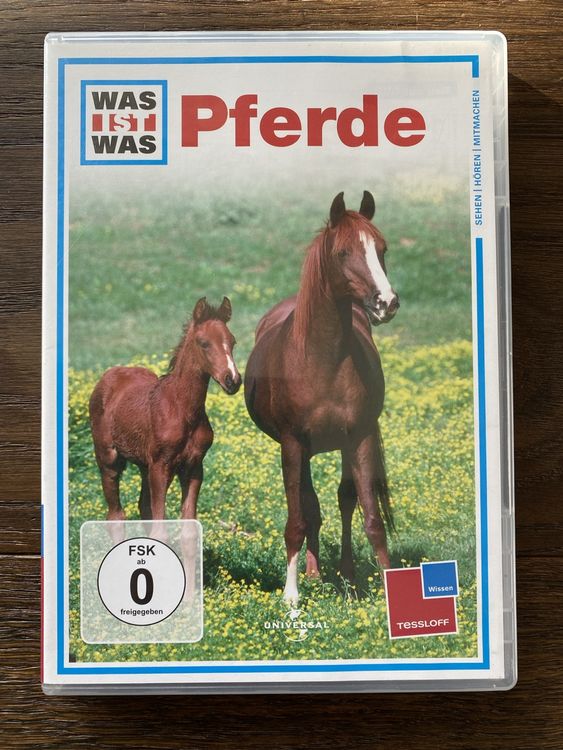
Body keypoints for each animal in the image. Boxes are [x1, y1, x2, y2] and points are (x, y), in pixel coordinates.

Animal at [89, 296, 241, 527]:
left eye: (232, 342)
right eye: (204, 343)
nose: (232, 380)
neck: (183, 410)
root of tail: (110, 374)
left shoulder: (194, 467)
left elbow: (188, 523)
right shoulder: (161, 467)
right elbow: (160, 522)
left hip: (144, 465)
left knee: (142, 507)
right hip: (108, 459)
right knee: (115, 514)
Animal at [244, 192, 399, 603]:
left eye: (382, 249)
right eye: (344, 252)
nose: (386, 302)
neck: (322, 359)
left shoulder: (360, 437)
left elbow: (371, 518)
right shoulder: (293, 444)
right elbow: (298, 519)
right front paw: (291, 596)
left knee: (344, 500)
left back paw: (346, 574)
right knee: (310, 505)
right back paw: (313, 575)